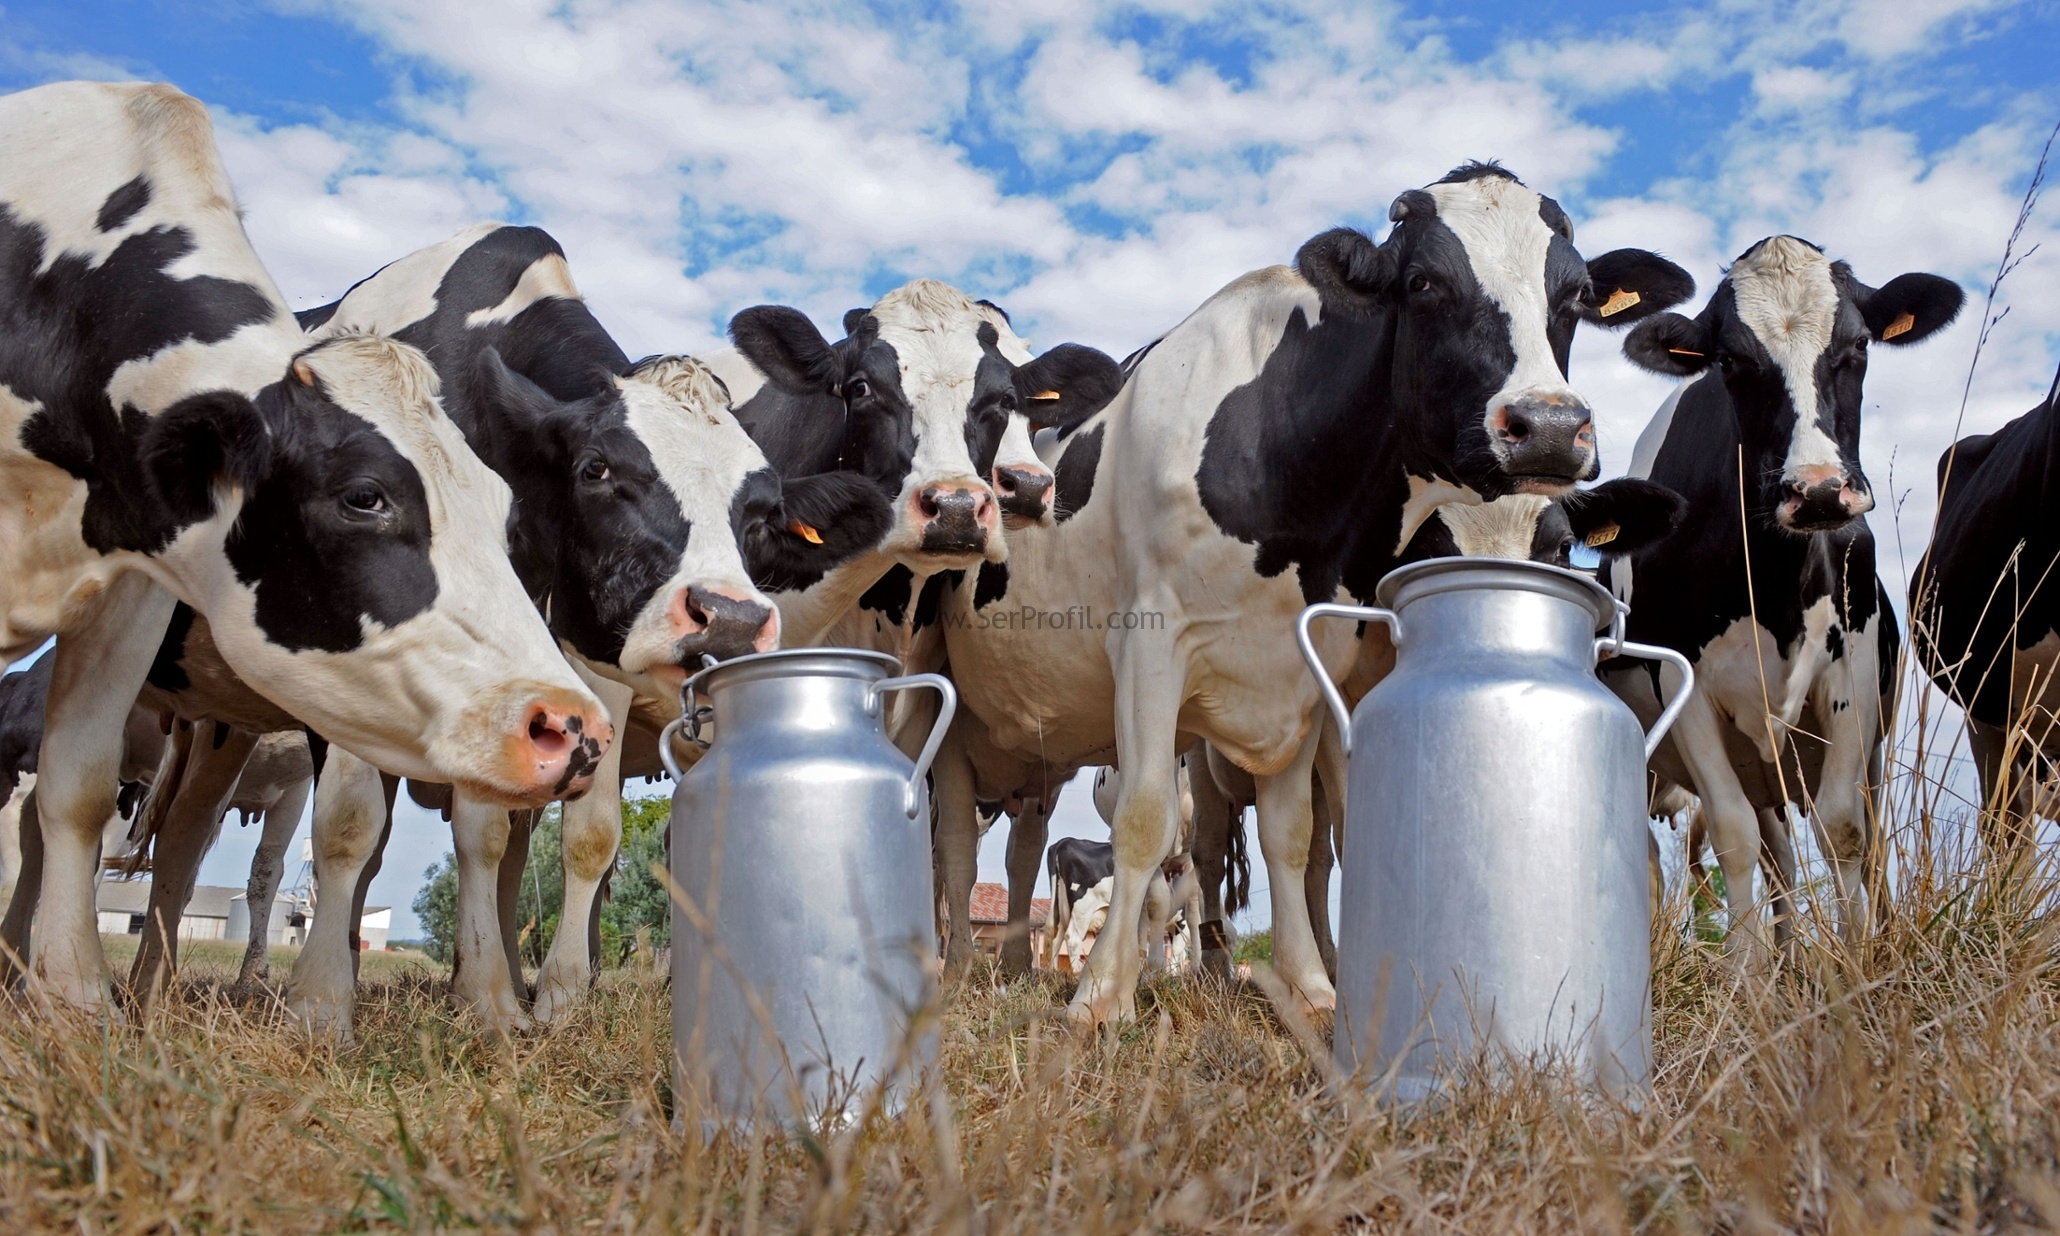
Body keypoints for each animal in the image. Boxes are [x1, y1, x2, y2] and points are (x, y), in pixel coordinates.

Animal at [2, 84, 609, 1005]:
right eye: (364, 496)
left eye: (505, 512)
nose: (572, 726)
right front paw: (326, 1004)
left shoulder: (136, 584)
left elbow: (80, 785)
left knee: (182, 841)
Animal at [935, 163, 1689, 1021]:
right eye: (1424, 283)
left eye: (1575, 294)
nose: (1550, 427)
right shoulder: (1150, 646)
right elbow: (1146, 818)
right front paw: (1101, 996)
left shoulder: (1302, 668)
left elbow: (1292, 837)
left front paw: (1309, 985)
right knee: (957, 847)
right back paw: (963, 969)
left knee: (1023, 848)